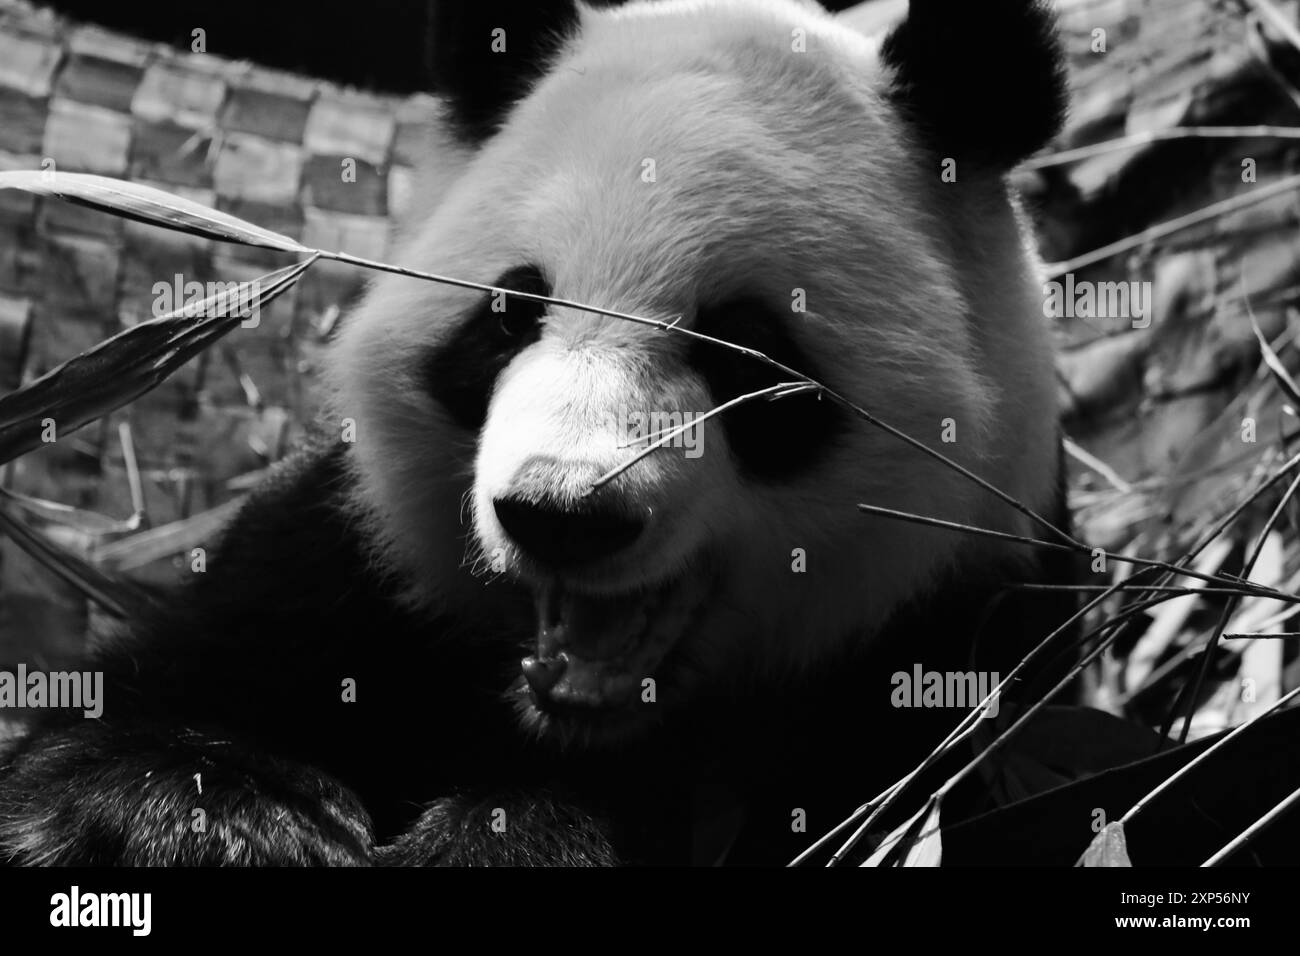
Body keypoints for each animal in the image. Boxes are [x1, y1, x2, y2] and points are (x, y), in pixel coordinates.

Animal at [0, 0, 1073, 866]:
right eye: (511, 315)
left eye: (748, 353)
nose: (561, 513)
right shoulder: (341, 560)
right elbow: (101, 738)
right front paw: (236, 816)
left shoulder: (956, 648)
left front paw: (509, 837)